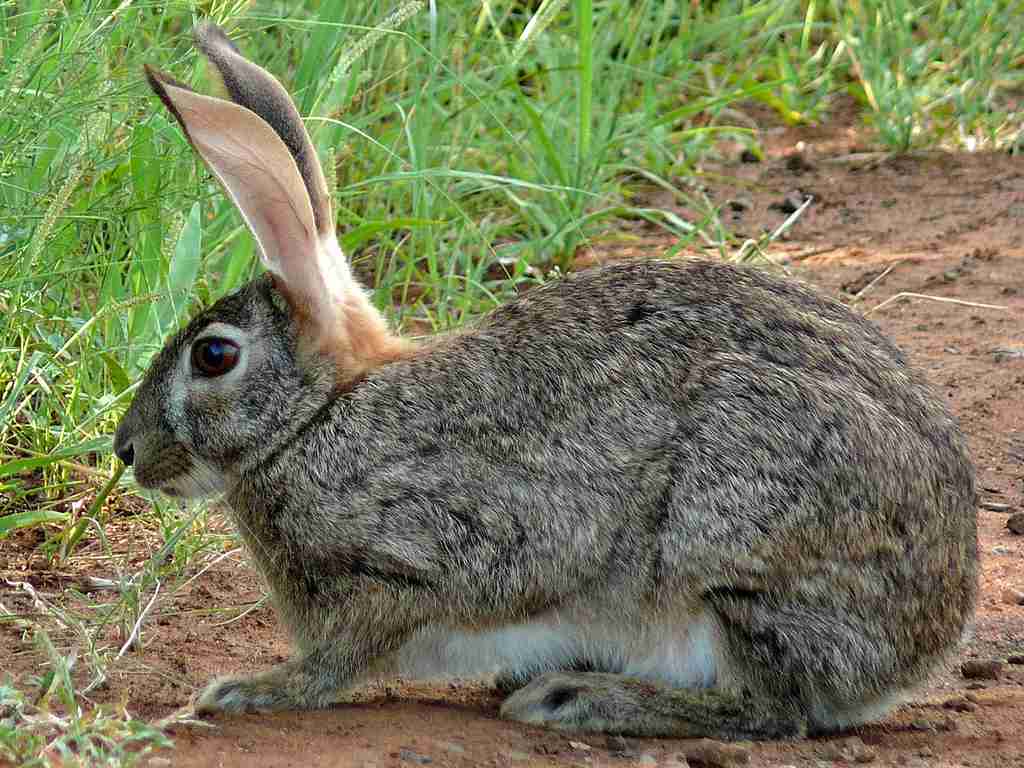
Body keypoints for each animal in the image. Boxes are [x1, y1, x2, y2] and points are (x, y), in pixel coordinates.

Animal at [113, 23, 978, 740]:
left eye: (213, 357)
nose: (127, 449)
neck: (318, 416)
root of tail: (928, 639)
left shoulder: (406, 567)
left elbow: (341, 661)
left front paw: (251, 690)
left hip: (733, 544)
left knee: (774, 708)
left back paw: (576, 698)